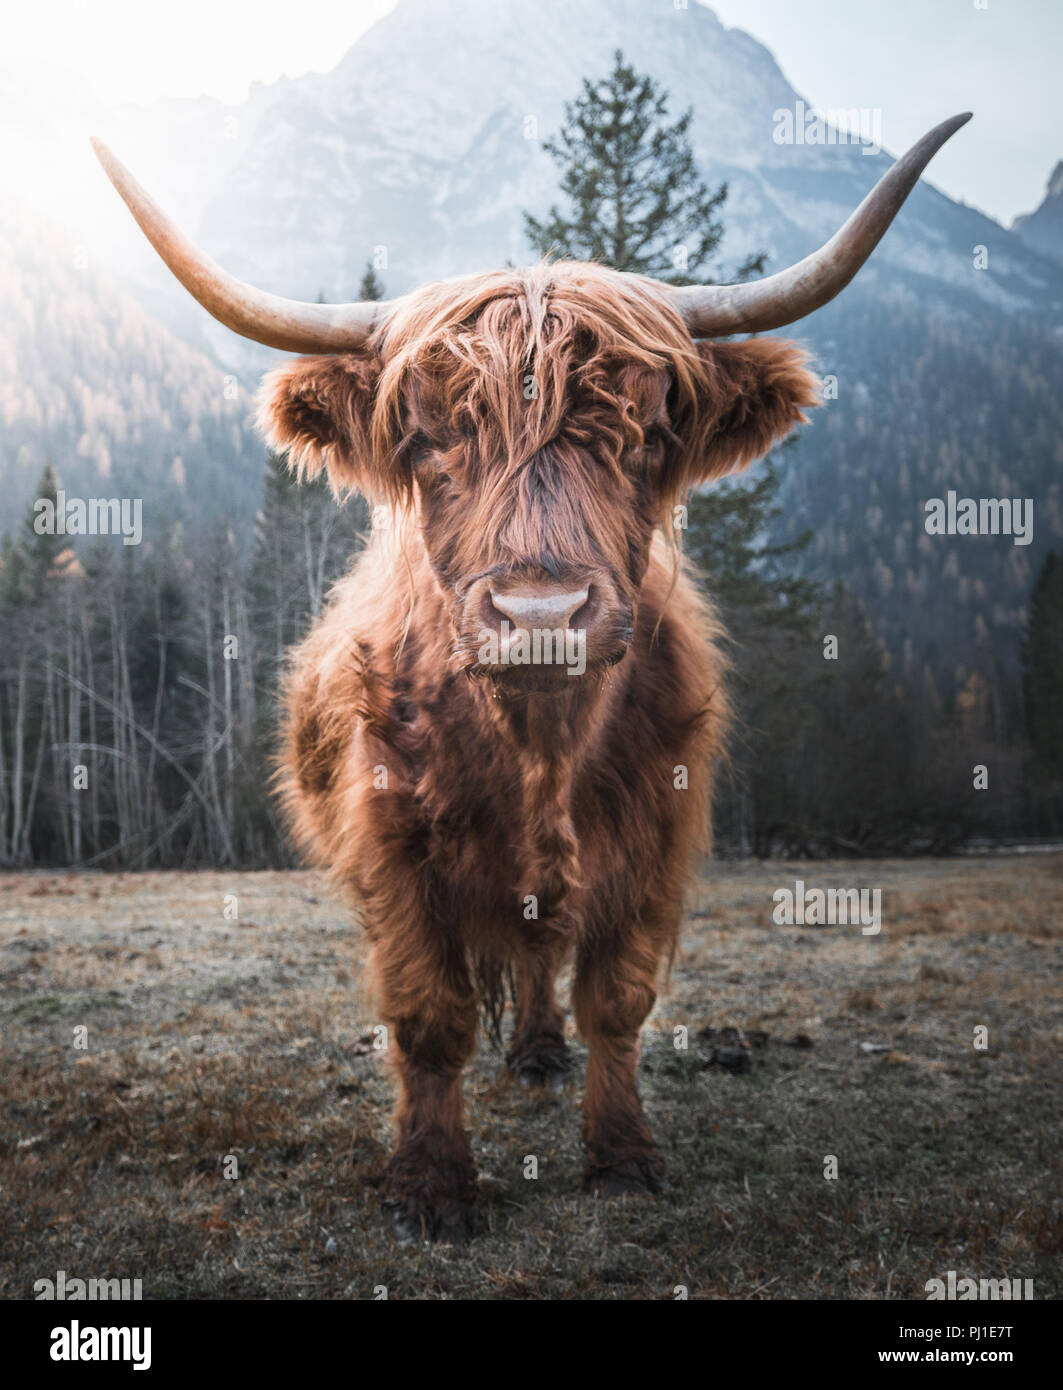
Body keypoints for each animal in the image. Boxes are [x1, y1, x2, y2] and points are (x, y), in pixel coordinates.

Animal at [93, 113, 969, 1242]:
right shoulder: (393, 846)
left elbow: (617, 1000)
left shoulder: (653, 837)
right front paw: (430, 1184)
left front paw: (624, 1156)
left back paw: (542, 1052)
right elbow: (428, 1016)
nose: (541, 618)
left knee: (541, 952)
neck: (538, 745)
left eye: (647, 435)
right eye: (427, 438)